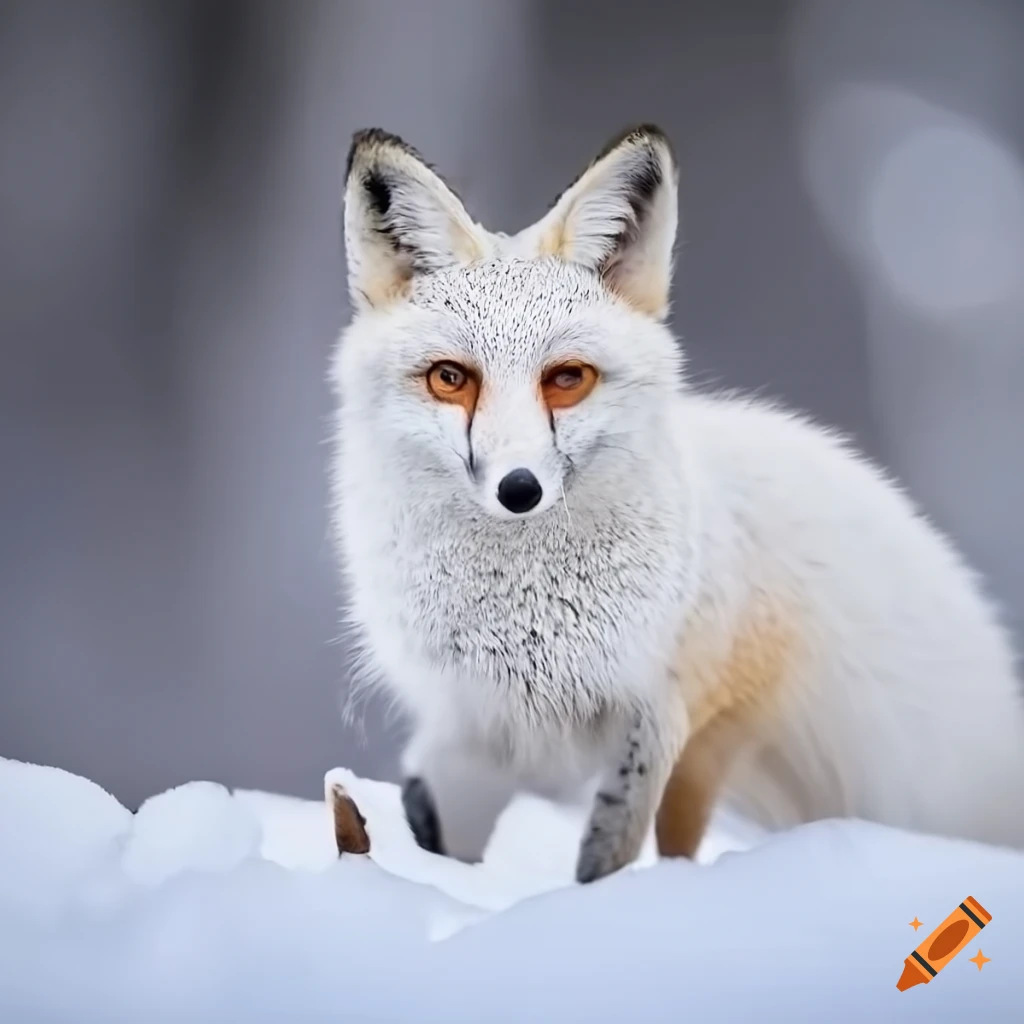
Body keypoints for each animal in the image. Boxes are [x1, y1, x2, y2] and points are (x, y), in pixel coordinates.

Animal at [329, 123, 1024, 883]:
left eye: (567, 379)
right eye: (451, 379)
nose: (520, 489)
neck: (528, 628)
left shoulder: (667, 714)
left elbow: (612, 862)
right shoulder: (467, 731)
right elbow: (447, 846)